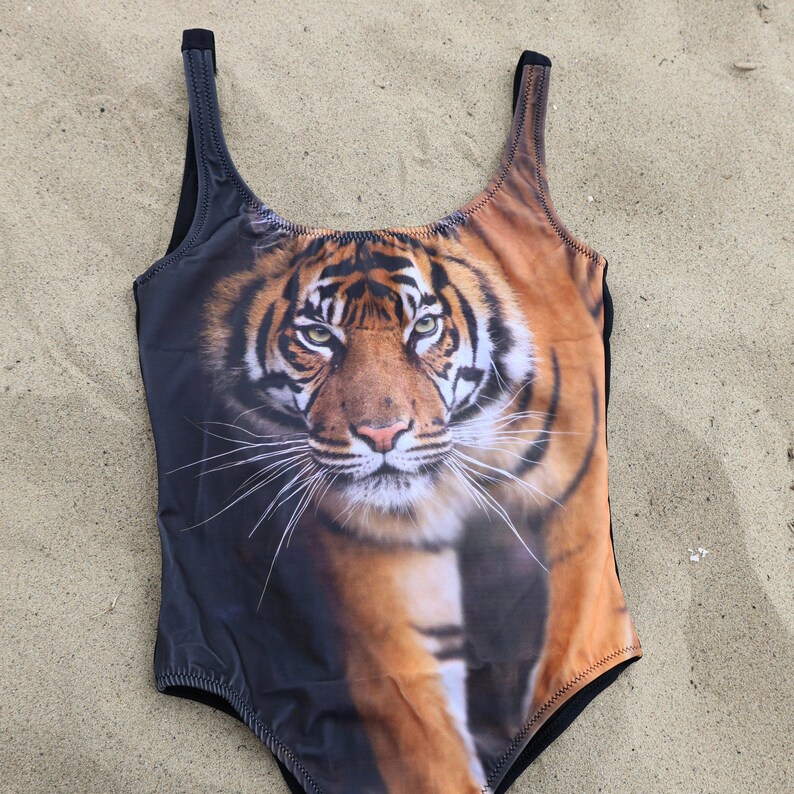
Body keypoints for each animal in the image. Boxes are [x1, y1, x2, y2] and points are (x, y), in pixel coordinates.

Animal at [197, 208, 635, 792]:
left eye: (424, 328)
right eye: (317, 336)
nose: (382, 435)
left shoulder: (580, 527)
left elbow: (572, 630)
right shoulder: (391, 607)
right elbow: (428, 743)